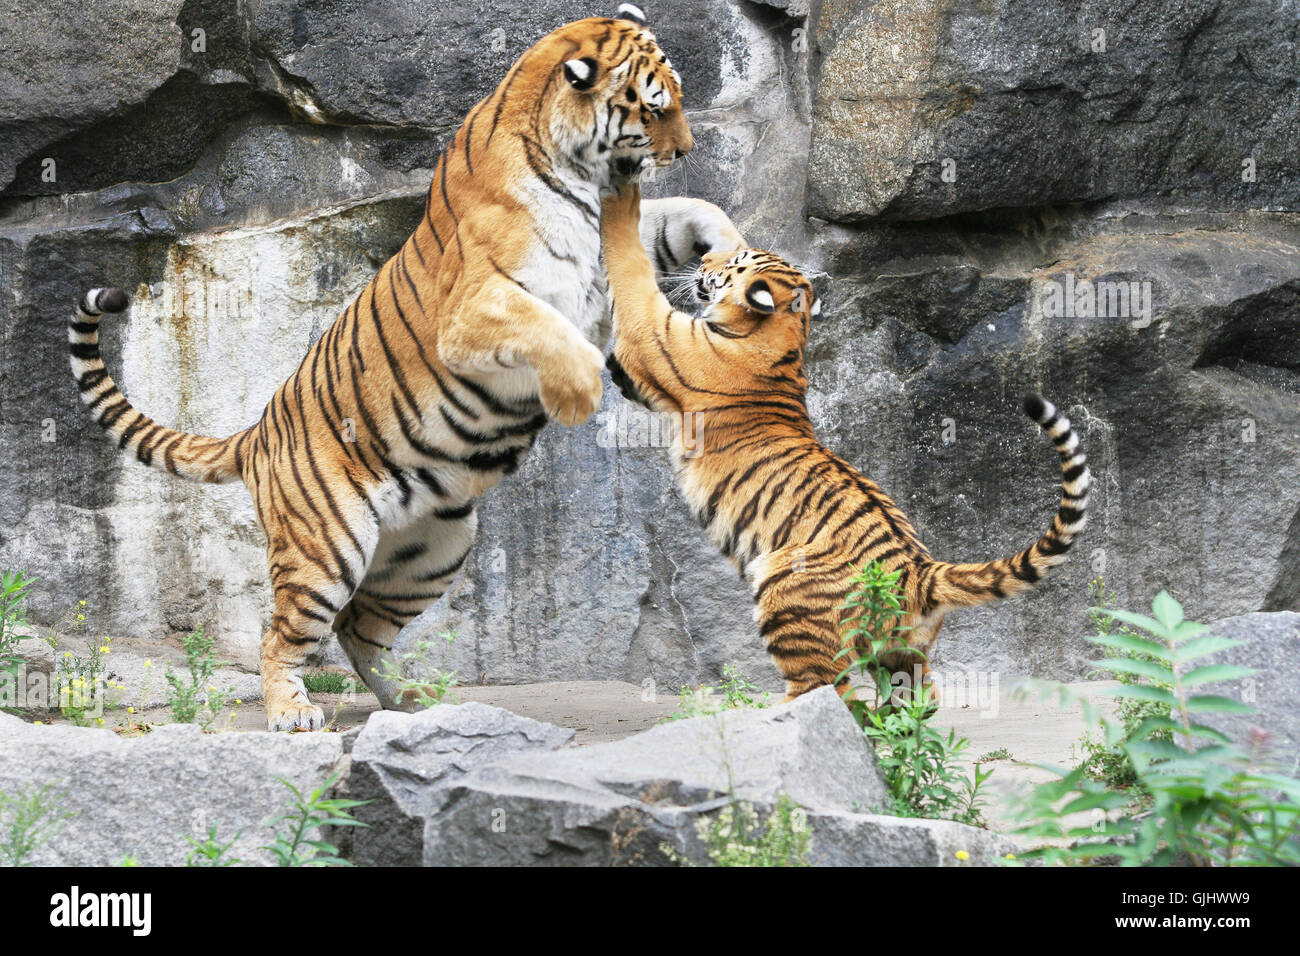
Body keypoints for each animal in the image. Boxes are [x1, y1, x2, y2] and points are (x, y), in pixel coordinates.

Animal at [68, 4, 717, 731]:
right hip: (326, 548)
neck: (581, 170)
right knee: (283, 634)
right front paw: (578, 396)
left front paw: (722, 244)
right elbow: (552, 333)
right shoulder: (478, 304)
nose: (686, 150)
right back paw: (293, 712)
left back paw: (409, 702)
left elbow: (682, 217)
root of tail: (257, 434)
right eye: (656, 108)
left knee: (358, 629)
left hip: (432, 549)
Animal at [599, 181, 1090, 704]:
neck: (789, 334)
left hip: (783, 592)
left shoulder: (654, 337)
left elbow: (630, 273)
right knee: (910, 710)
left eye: (734, 265)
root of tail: (918, 571)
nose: (705, 260)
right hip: (904, 658)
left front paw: (618, 204)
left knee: (825, 691)